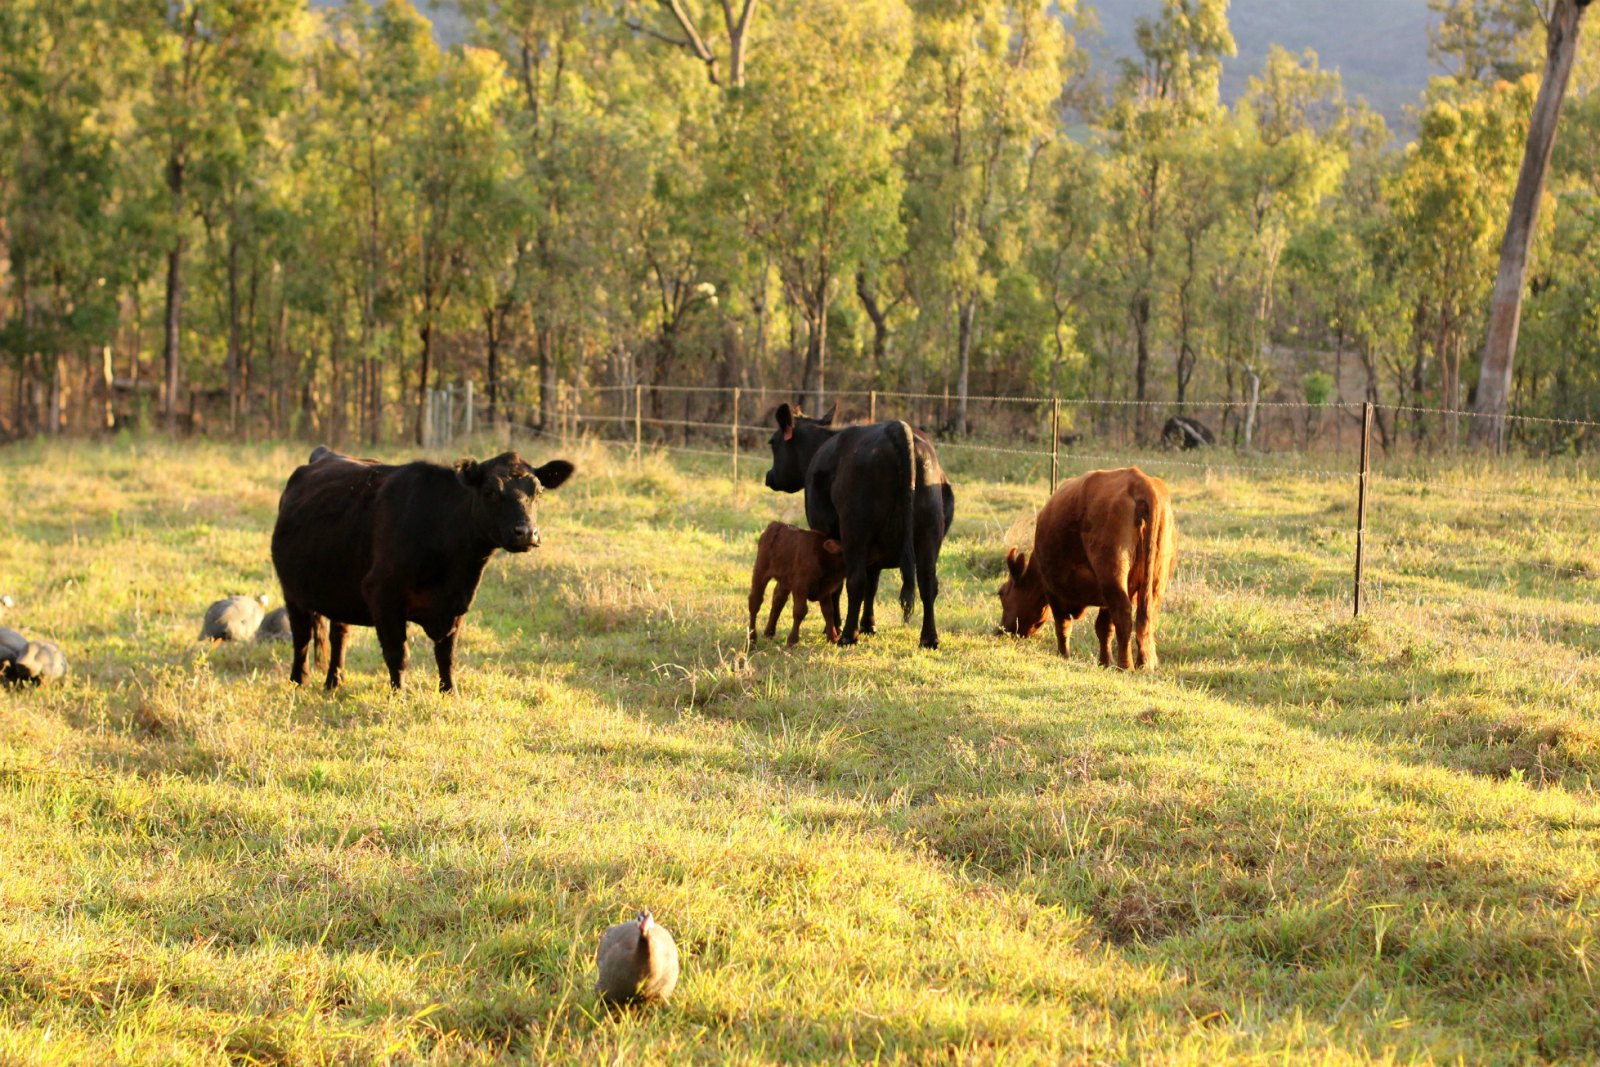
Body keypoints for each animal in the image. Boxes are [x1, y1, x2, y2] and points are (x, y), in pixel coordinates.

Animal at [270, 446, 573, 692]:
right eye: (490, 491)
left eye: (539, 491)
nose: (527, 533)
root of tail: (324, 454)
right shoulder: (383, 596)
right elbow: (398, 654)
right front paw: (399, 696)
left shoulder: (456, 604)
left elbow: (446, 655)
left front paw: (450, 693)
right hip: (292, 591)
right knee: (302, 636)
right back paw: (299, 681)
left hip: (340, 589)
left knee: (338, 635)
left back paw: (334, 682)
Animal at [764, 403, 954, 649]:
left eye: (772, 442)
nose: (769, 476)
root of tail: (897, 427)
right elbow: (872, 586)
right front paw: (868, 625)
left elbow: (837, 585)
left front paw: (834, 626)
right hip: (929, 534)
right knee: (927, 582)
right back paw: (929, 638)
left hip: (856, 531)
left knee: (856, 581)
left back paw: (847, 635)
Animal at [998, 466, 1177, 670]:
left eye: (1001, 593)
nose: (1000, 630)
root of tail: (1139, 481)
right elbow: (1104, 627)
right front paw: (1105, 662)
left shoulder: (1052, 590)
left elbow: (1063, 624)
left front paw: (1064, 655)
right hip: (1155, 579)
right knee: (1145, 615)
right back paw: (1145, 663)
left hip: (1111, 573)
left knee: (1123, 613)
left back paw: (1125, 665)